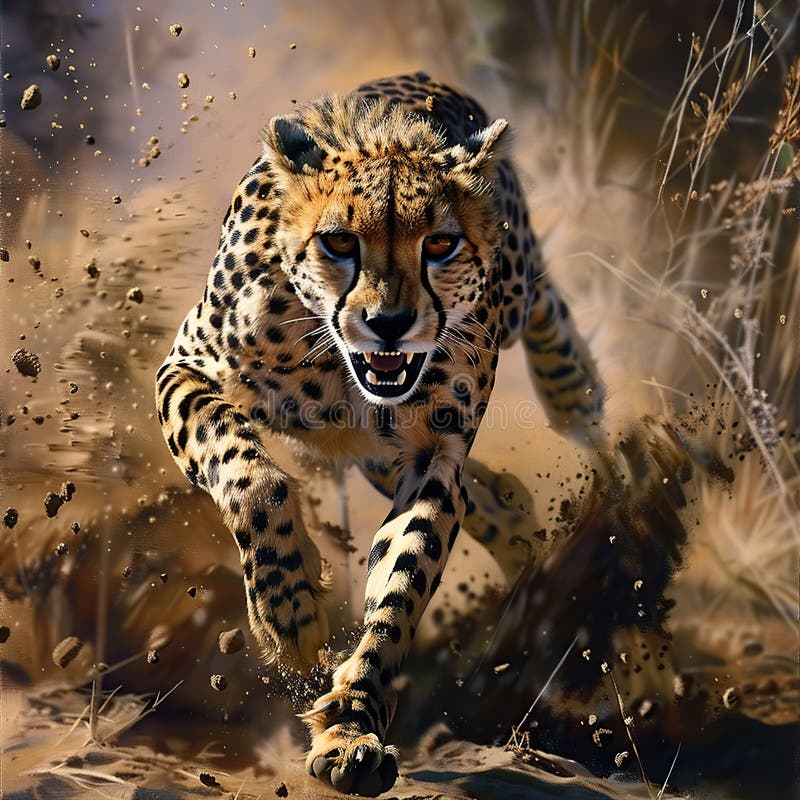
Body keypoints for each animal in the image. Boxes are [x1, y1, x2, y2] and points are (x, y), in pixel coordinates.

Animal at [155, 72, 604, 796]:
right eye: (339, 242)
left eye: (440, 244)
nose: (389, 323)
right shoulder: (186, 367)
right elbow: (245, 474)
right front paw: (287, 612)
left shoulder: (432, 459)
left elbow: (400, 585)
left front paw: (351, 728)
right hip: (372, 460)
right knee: (489, 498)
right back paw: (518, 523)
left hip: (505, 304)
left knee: (540, 303)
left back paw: (574, 391)